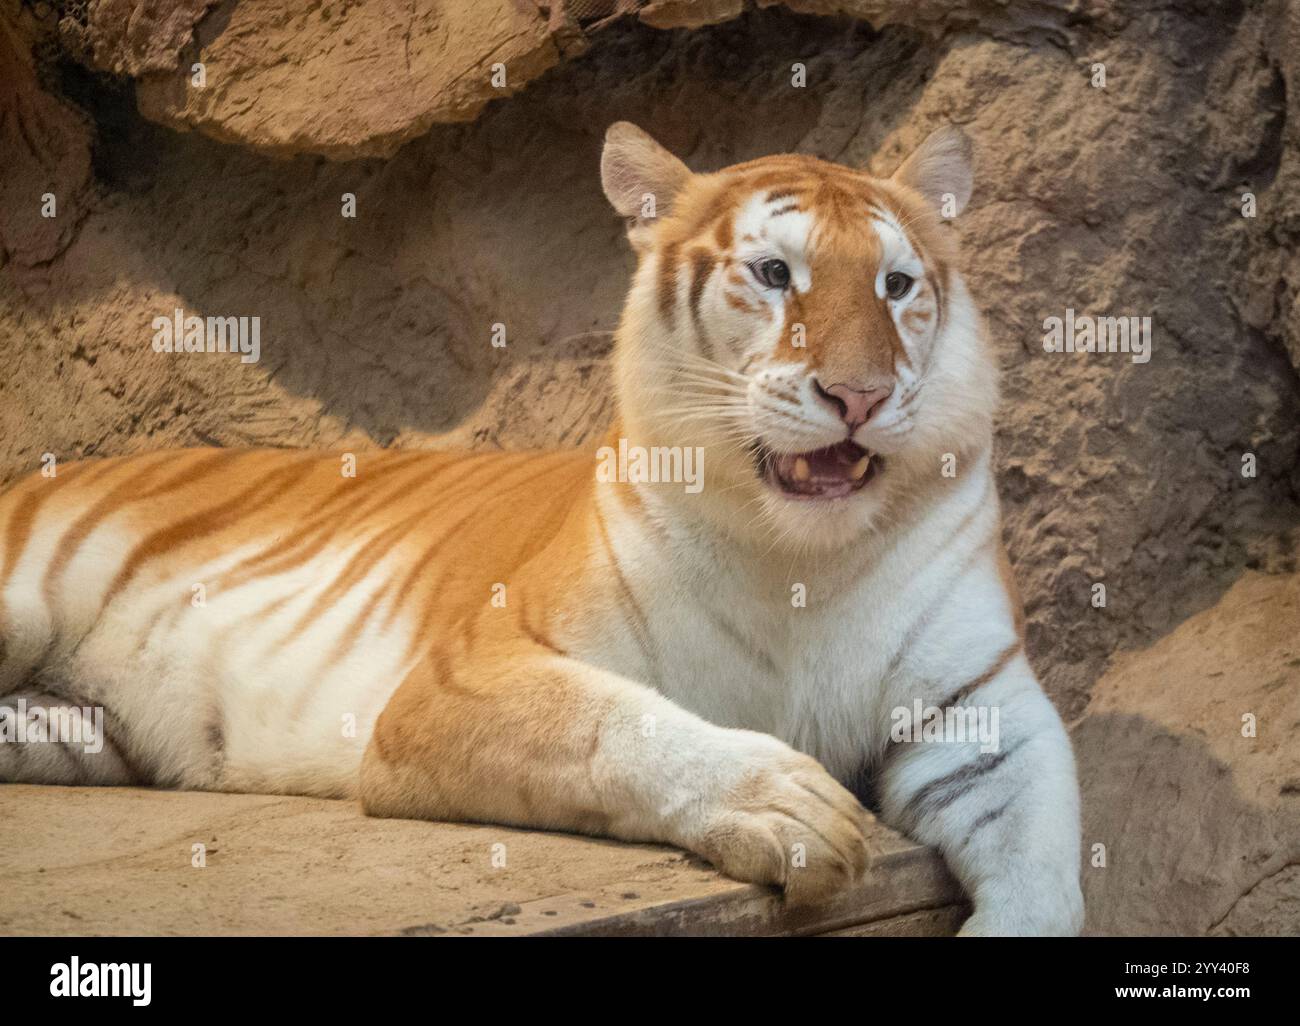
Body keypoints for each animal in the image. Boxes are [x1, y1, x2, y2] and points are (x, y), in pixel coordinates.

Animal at [0, 122, 1084, 936]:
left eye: (896, 285)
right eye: (777, 274)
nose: (857, 395)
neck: (799, 560)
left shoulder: (980, 709)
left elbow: (1047, 856)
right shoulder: (466, 675)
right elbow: (615, 725)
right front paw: (781, 803)